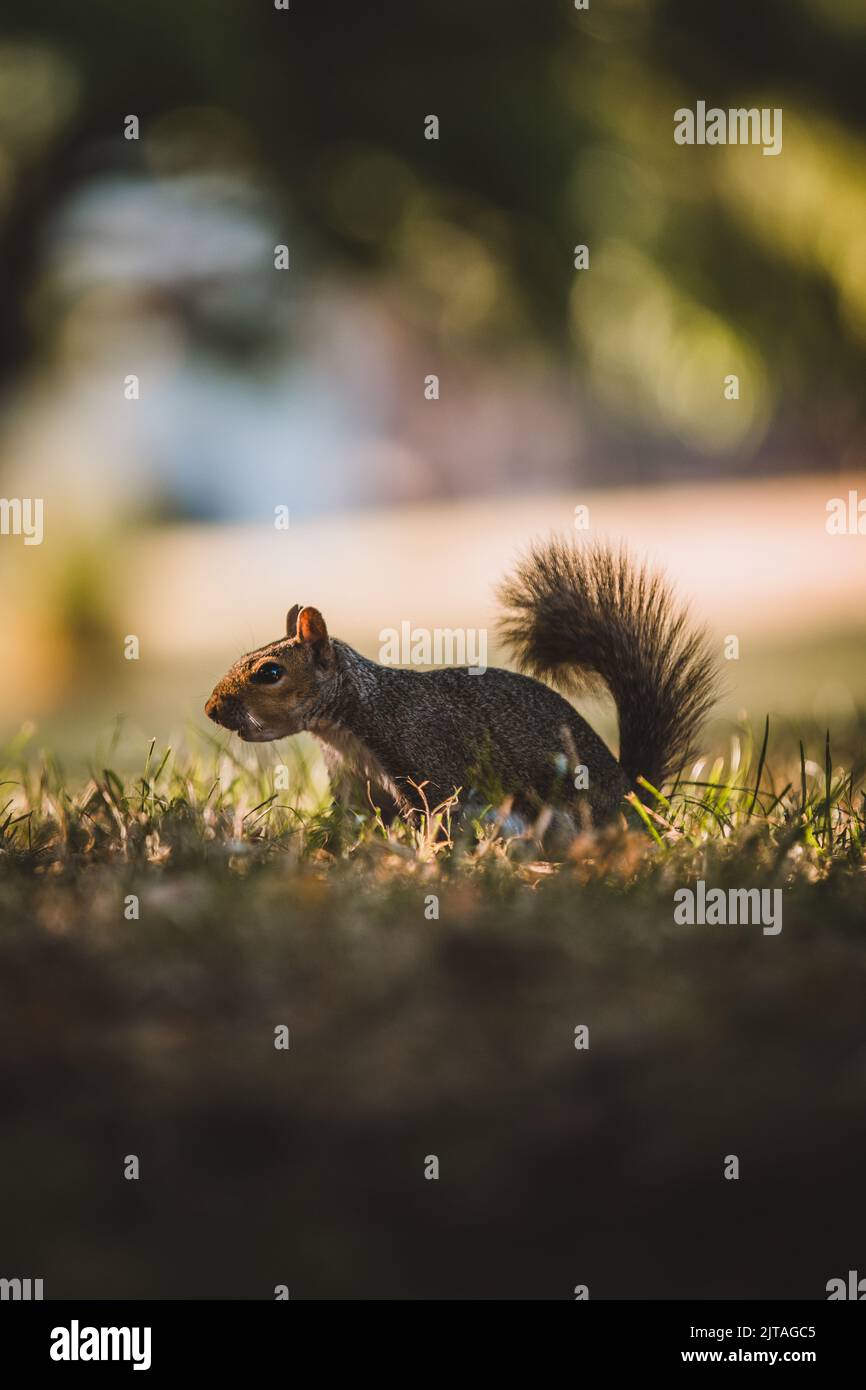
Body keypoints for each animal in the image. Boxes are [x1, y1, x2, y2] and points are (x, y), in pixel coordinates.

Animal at [205, 539, 717, 829]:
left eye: (270, 672)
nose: (211, 710)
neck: (350, 721)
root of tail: (636, 800)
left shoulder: (427, 759)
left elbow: (437, 815)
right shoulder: (356, 784)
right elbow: (355, 823)